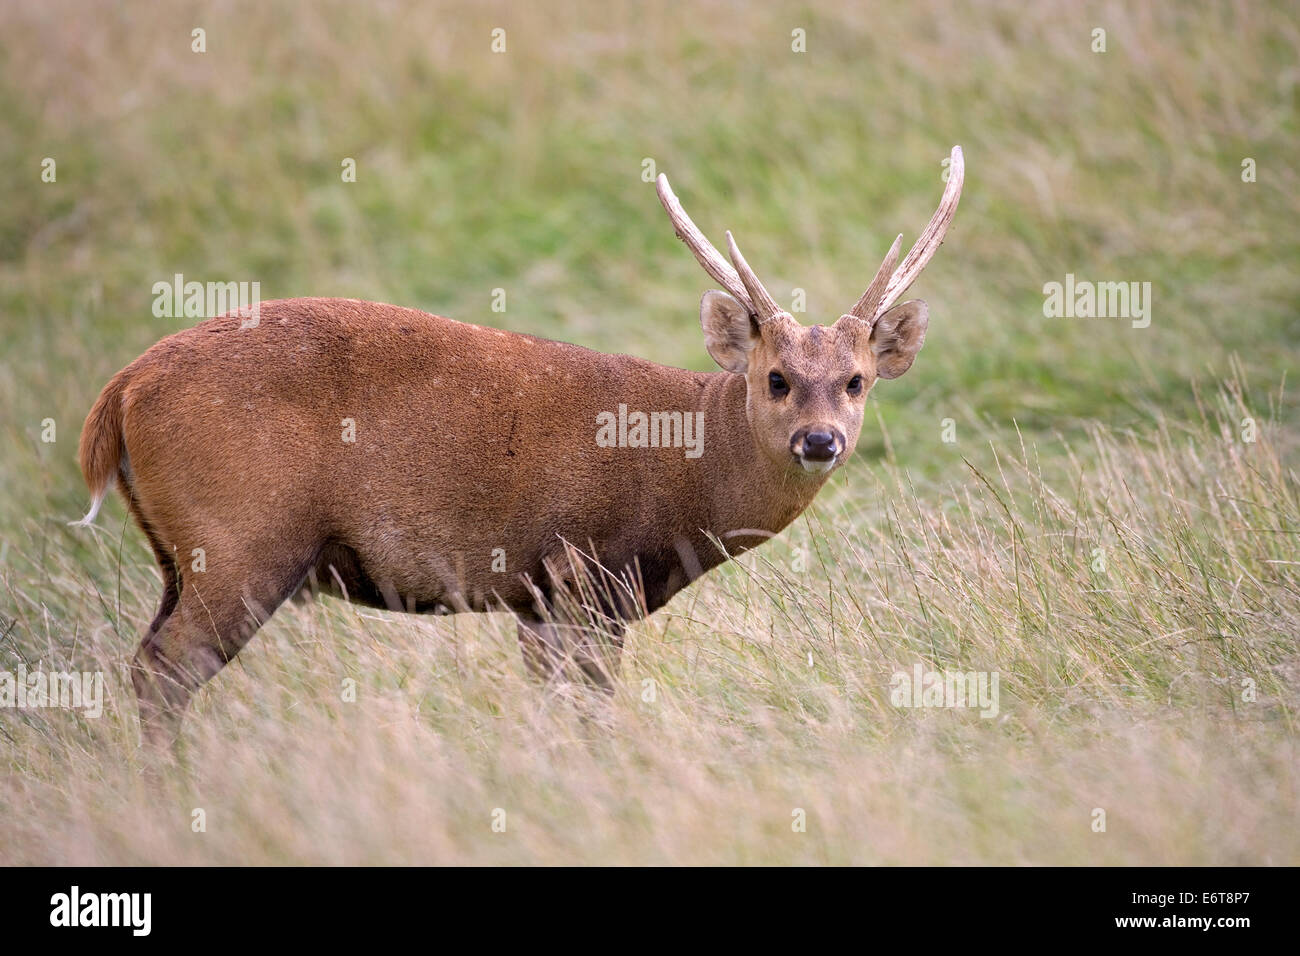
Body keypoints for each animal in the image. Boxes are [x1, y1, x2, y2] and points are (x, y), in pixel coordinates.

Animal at [75, 147, 964, 746]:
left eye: (855, 380)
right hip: (244, 538)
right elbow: (588, 710)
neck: (686, 471)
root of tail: (119, 392)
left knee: (145, 661)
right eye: (777, 377)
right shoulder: (585, 569)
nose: (820, 440)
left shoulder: (538, 597)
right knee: (164, 671)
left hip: (181, 553)